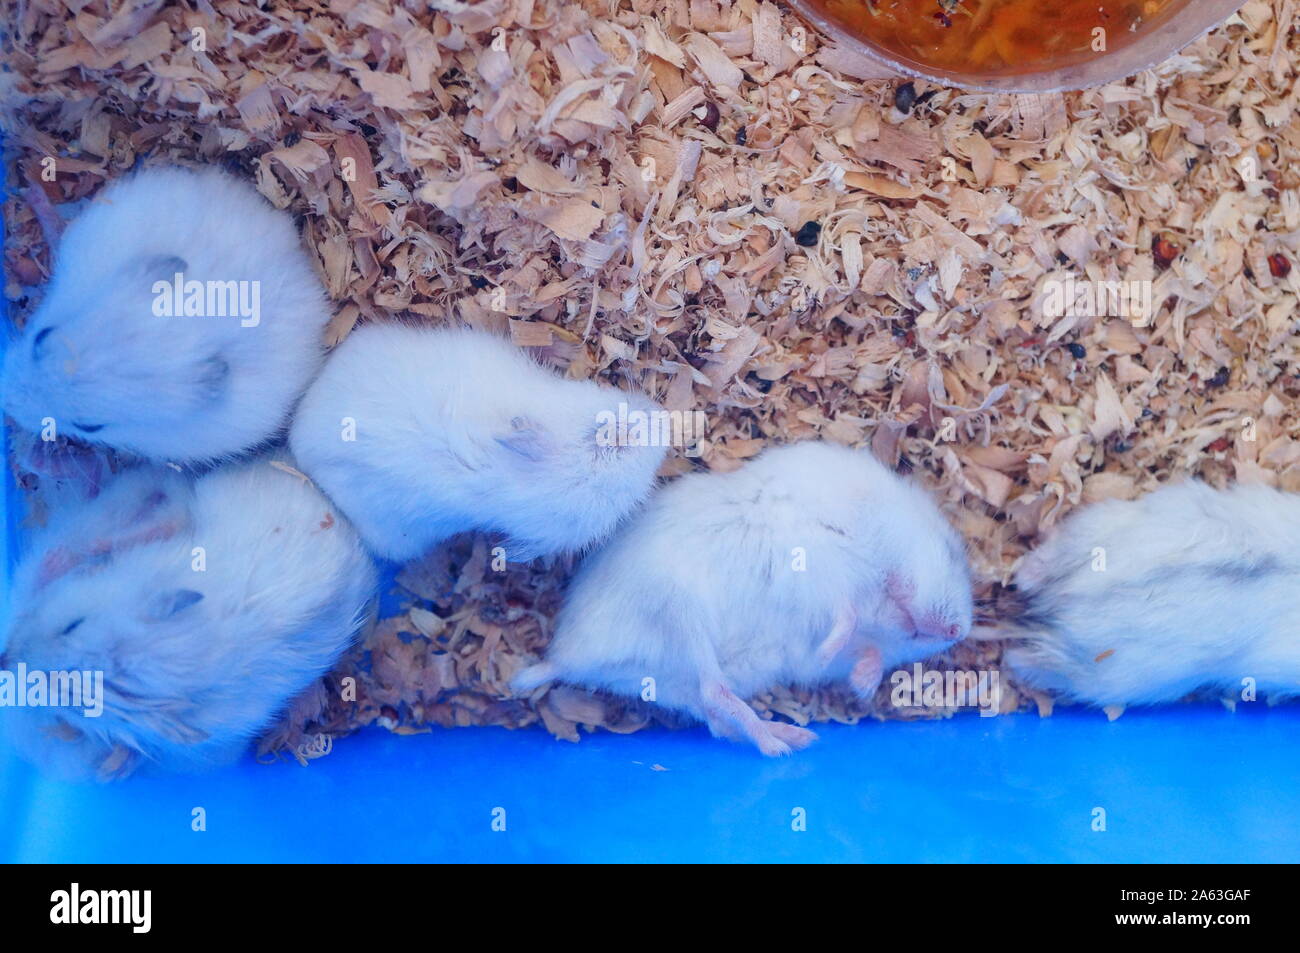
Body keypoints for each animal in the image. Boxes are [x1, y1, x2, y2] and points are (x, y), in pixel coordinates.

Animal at [512, 441, 974, 755]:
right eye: (952, 551)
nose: (958, 631)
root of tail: (566, 659)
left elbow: (860, 642)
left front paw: (862, 681)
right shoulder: (815, 556)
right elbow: (845, 613)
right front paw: (841, 660)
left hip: (673, 676)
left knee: (715, 714)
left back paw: (793, 736)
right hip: (677, 611)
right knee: (715, 693)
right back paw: (780, 746)